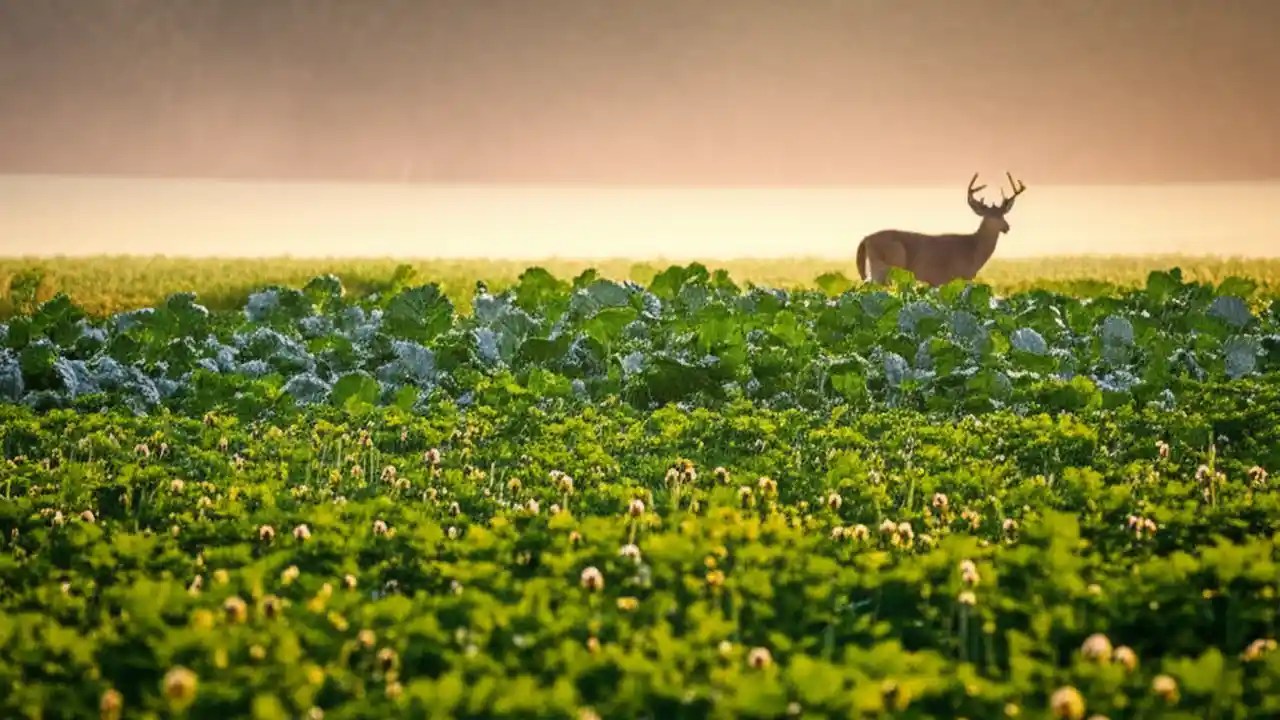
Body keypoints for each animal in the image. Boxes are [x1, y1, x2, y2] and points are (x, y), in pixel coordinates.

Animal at [855, 172, 1027, 286]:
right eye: (990, 216)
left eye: (1003, 214)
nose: (1007, 227)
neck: (973, 250)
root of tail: (865, 239)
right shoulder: (954, 277)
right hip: (885, 265)